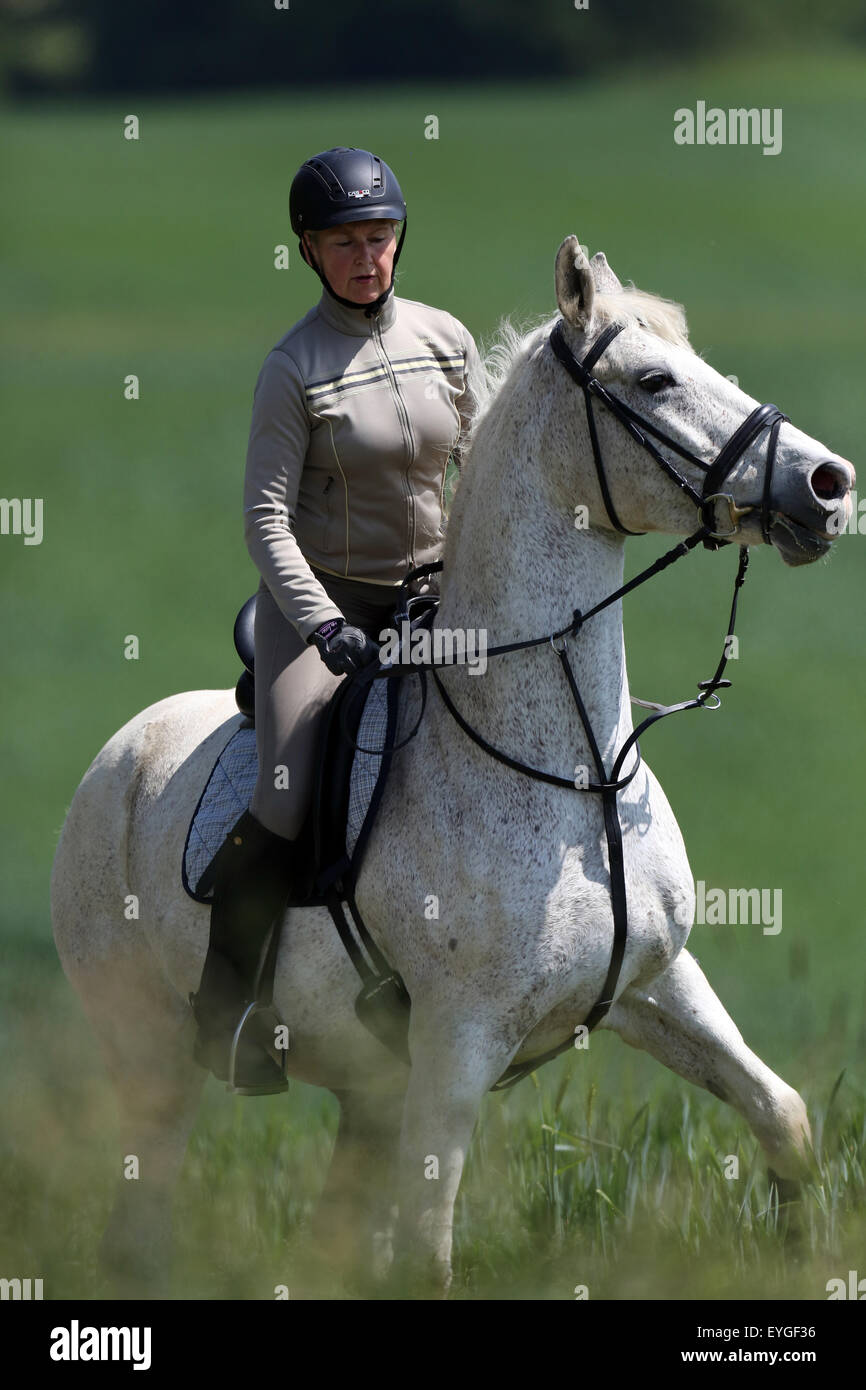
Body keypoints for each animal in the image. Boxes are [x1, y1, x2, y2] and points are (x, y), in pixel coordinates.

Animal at [50, 236, 856, 1289]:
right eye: (655, 380)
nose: (830, 483)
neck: (577, 779)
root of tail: (117, 756)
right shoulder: (457, 1044)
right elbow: (424, 1257)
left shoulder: (655, 987)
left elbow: (782, 1116)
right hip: (151, 1053)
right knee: (141, 1217)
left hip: (365, 1092)